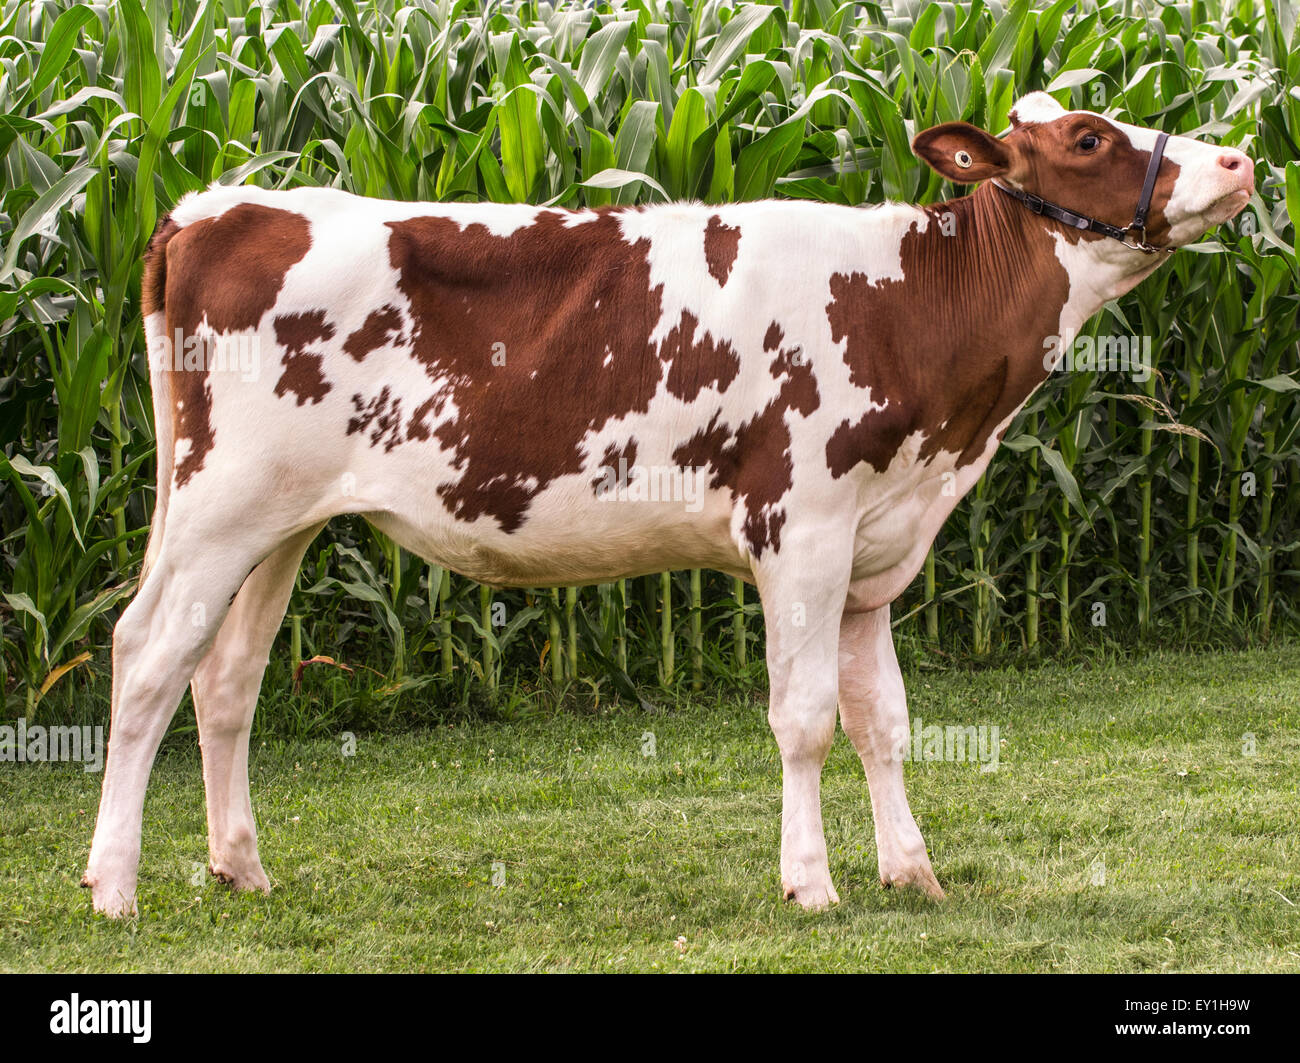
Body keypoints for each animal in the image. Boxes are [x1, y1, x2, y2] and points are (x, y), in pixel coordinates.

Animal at [82, 92, 1253, 917]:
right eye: (1091, 137)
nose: (1241, 158)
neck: (910, 307)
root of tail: (218, 205)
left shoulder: (876, 548)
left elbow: (883, 721)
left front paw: (912, 873)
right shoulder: (801, 528)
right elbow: (805, 717)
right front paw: (811, 883)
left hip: (282, 520)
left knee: (226, 679)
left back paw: (241, 868)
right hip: (219, 505)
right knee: (145, 656)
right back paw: (113, 885)